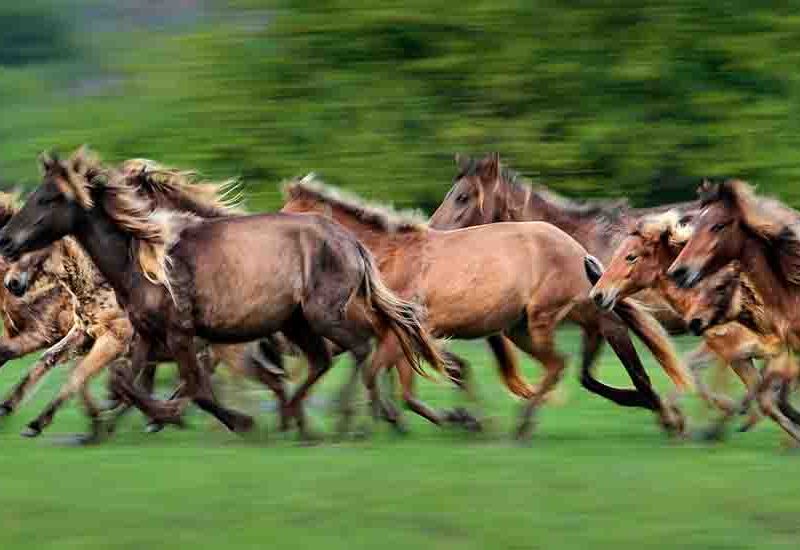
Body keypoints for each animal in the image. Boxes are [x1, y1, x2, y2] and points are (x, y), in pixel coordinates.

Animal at [0, 149, 447, 441]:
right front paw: (118, 421)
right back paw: (306, 422)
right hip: (297, 323)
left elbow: (194, 389)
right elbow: (125, 382)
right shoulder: (144, 334)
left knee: (358, 350)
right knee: (324, 361)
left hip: (322, 316)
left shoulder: (179, 335)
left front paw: (235, 421)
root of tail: (351, 242)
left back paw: (347, 420)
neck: (145, 262)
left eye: (51, 197)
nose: (6, 241)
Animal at [281, 175, 689, 440]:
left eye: (291, 215)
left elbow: (386, 377)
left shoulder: (406, 333)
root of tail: (578, 250)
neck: (392, 257)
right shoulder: (397, 335)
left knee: (566, 363)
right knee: (574, 365)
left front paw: (451, 418)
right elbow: (399, 380)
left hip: (544, 319)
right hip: (524, 328)